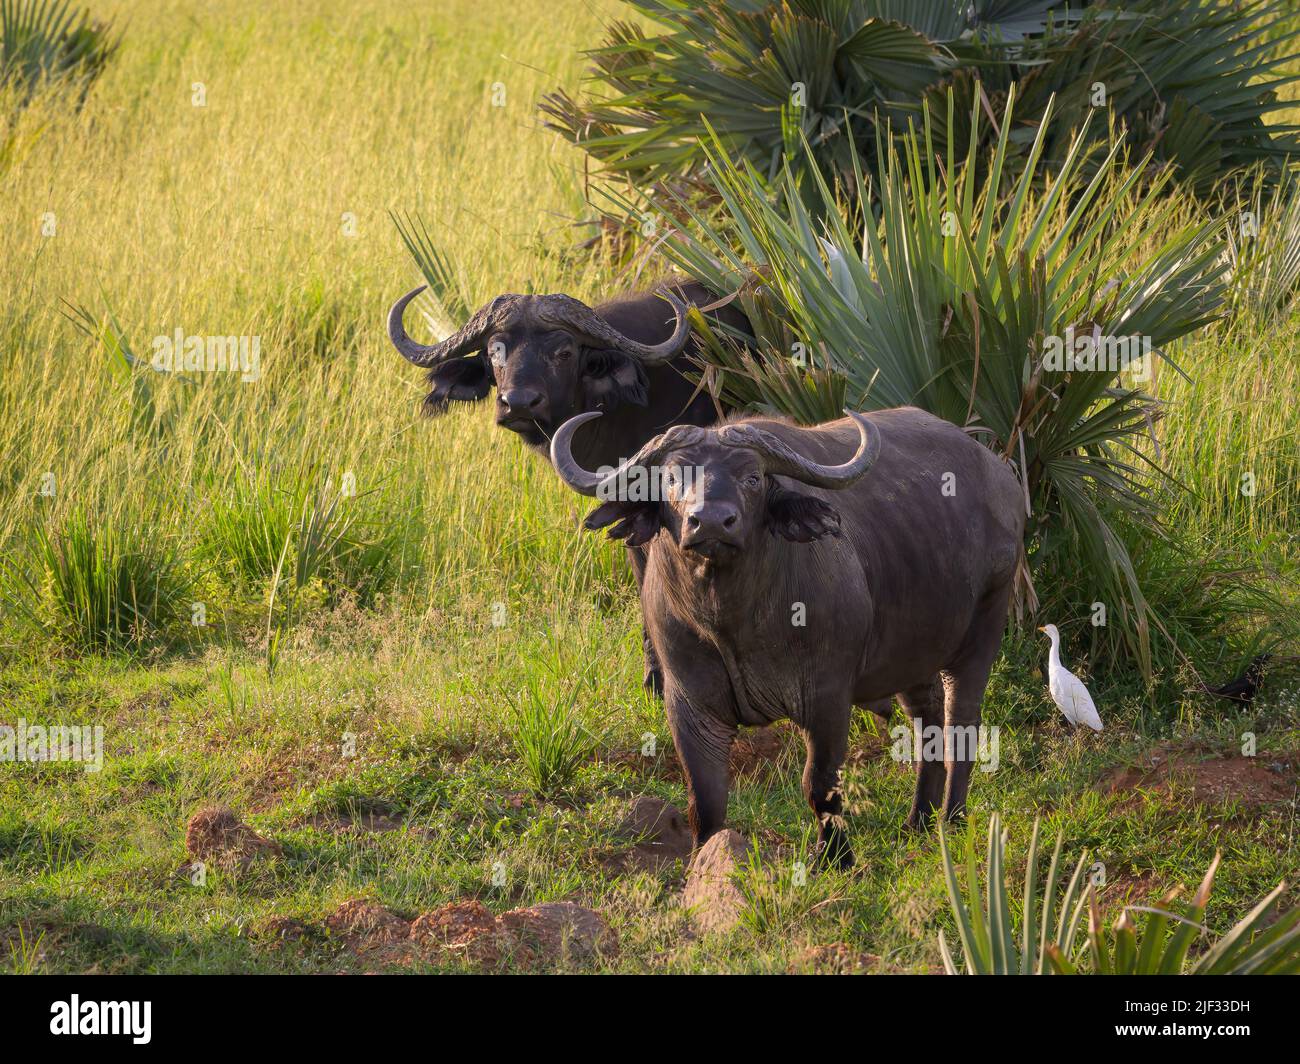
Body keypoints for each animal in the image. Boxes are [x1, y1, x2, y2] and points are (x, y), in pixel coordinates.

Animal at [549, 406, 1025, 868]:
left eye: (753, 478)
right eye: (670, 477)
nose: (711, 522)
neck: (731, 621)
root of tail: (1002, 480)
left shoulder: (828, 697)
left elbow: (820, 784)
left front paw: (834, 858)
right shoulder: (689, 704)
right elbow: (705, 798)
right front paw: (702, 859)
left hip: (984, 625)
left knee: (961, 724)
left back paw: (952, 817)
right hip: (913, 656)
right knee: (926, 719)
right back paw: (918, 820)